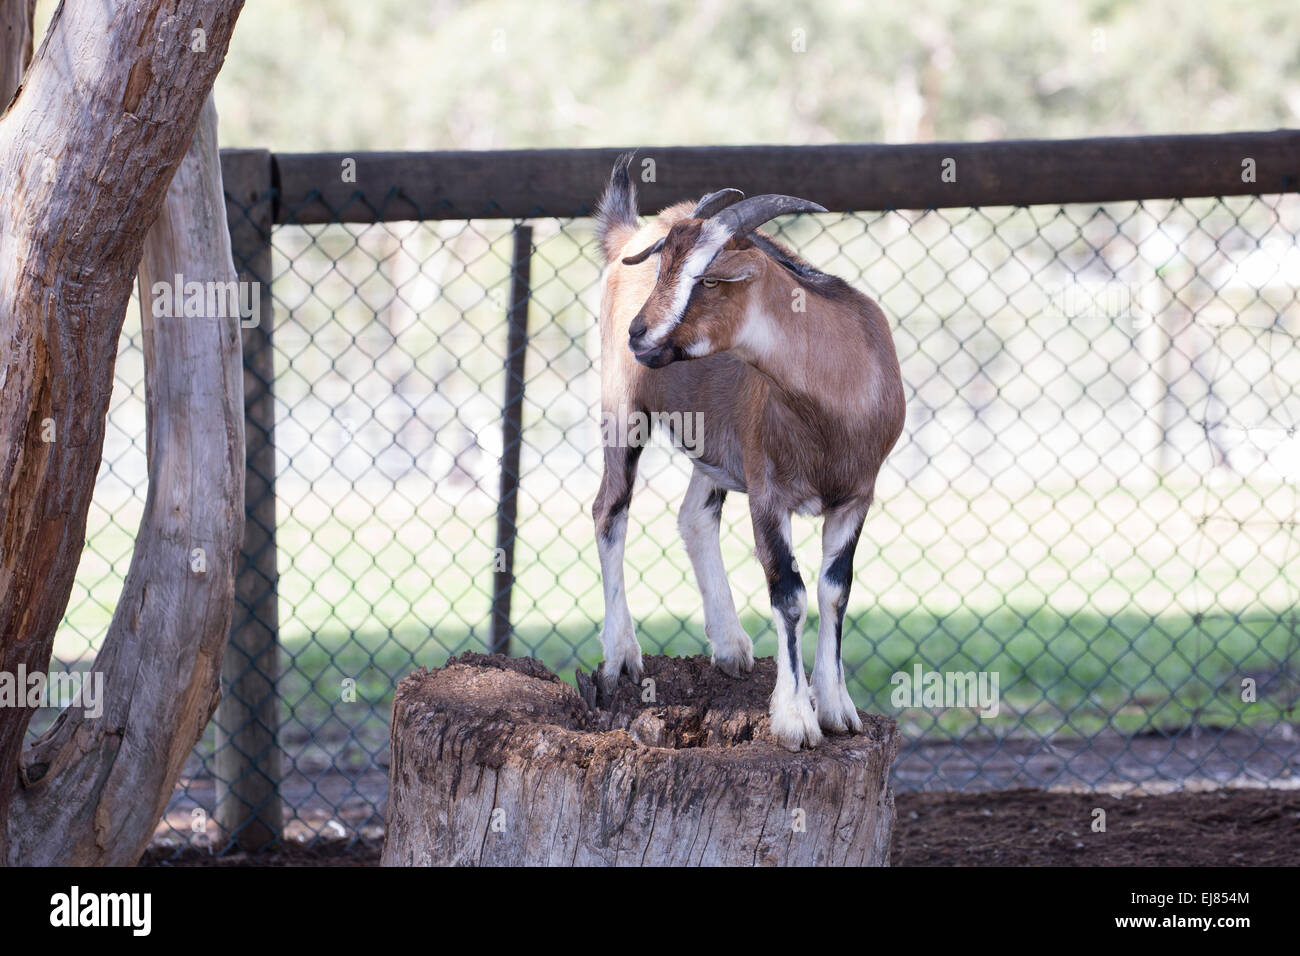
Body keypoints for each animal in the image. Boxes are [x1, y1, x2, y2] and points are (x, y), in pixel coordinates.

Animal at [592, 154, 906, 750]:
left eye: (710, 278)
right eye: (664, 264)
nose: (639, 333)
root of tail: (626, 233)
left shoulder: (858, 497)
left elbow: (834, 590)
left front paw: (837, 709)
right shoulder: (768, 493)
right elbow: (789, 593)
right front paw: (796, 718)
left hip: (718, 445)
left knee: (693, 516)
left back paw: (731, 645)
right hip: (623, 410)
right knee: (609, 509)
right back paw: (621, 654)